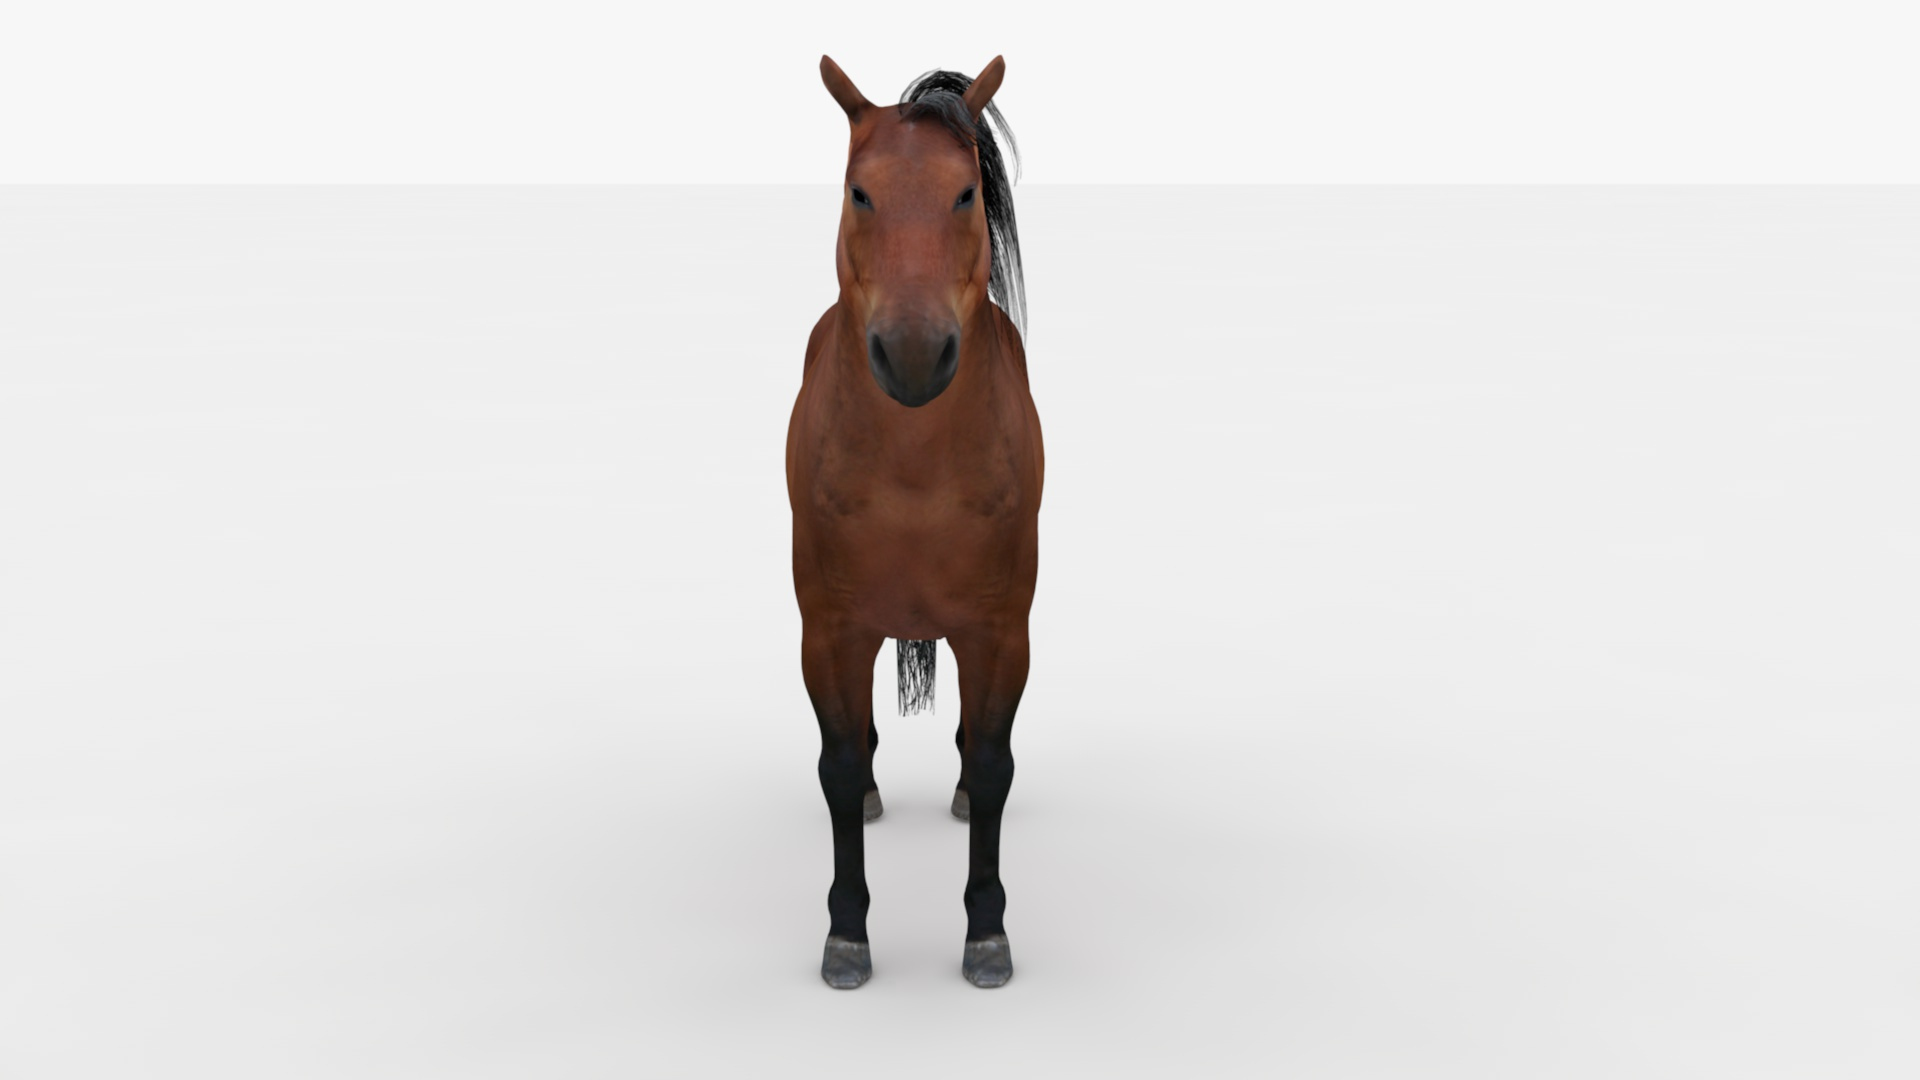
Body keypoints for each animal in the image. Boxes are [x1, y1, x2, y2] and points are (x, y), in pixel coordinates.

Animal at [785, 55, 1043, 990]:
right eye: (859, 192)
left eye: (966, 193)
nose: (913, 356)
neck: (914, 466)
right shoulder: (830, 631)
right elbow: (837, 763)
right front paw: (847, 936)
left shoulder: (1001, 630)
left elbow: (997, 765)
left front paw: (987, 936)